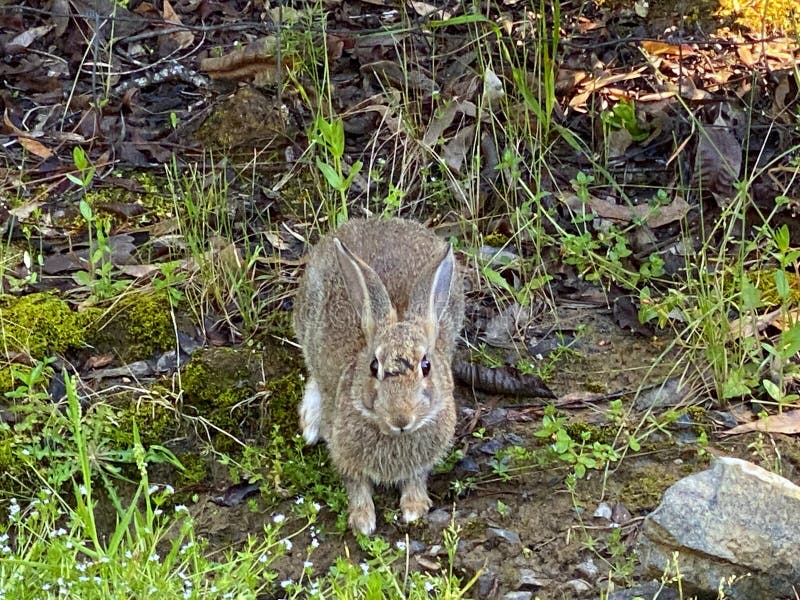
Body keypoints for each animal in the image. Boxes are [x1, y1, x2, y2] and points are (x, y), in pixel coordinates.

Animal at [293, 218, 464, 535]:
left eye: (426, 366)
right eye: (374, 366)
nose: (401, 419)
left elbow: (416, 477)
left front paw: (414, 508)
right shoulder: (344, 455)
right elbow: (356, 485)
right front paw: (362, 521)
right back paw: (311, 422)